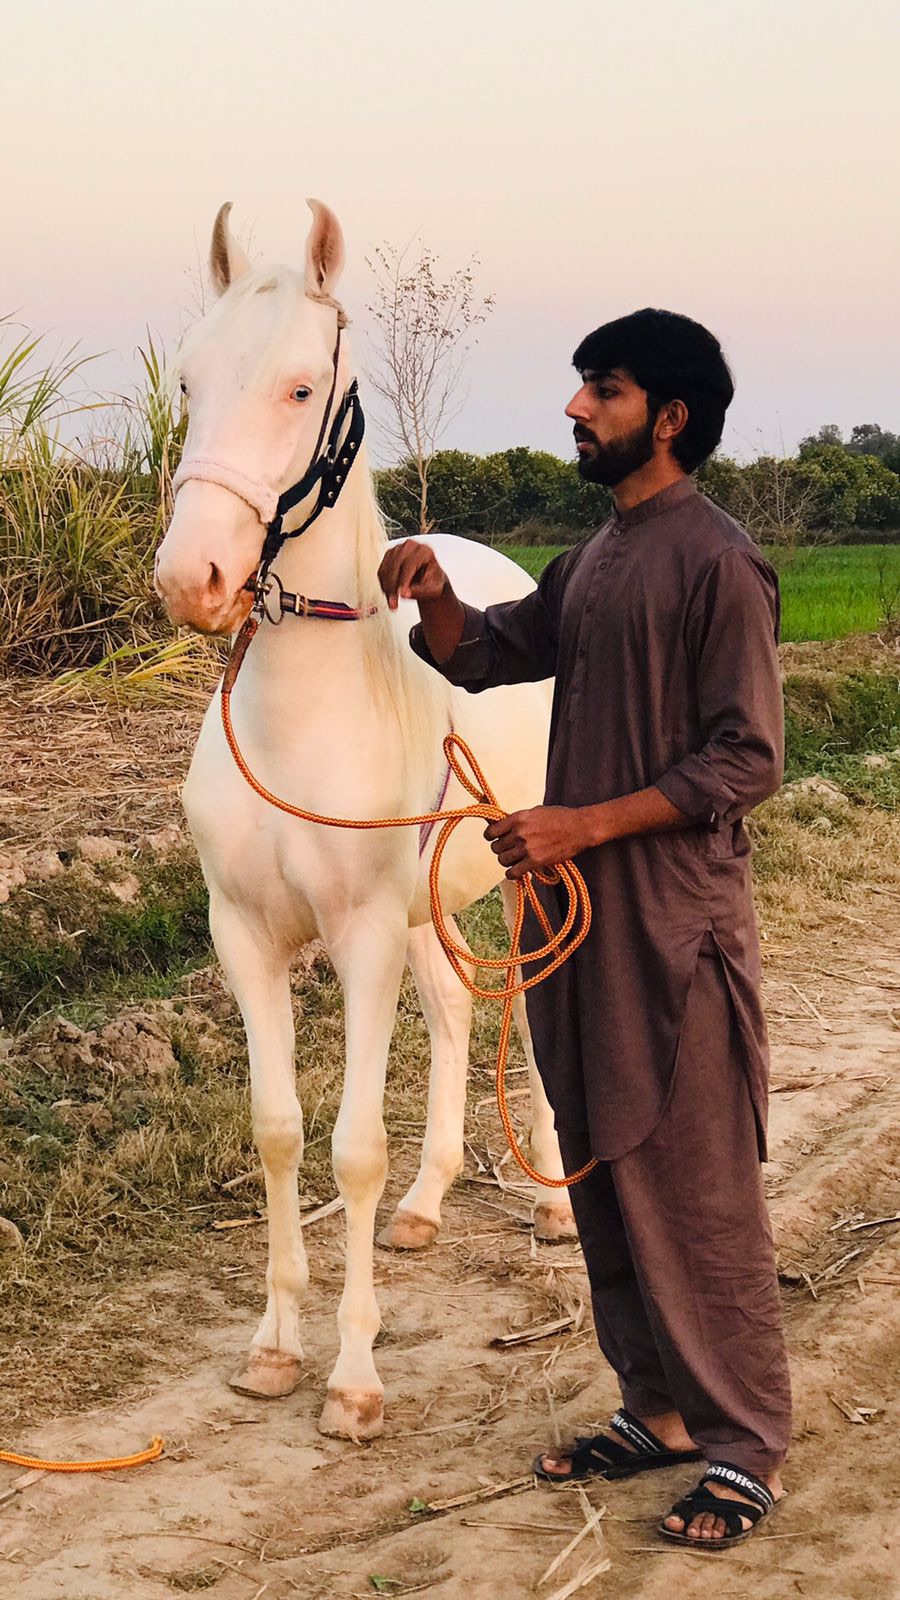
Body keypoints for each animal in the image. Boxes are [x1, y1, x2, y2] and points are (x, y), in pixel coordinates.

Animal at [153, 198, 575, 1442]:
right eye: (188, 379)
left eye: (301, 387)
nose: (192, 578)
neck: (307, 716)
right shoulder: (248, 937)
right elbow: (279, 1130)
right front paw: (274, 1347)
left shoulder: (363, 939)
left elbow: (351, 1150)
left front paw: (352, 1375)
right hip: (427, 911)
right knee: (456, 1008)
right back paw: (432, 1202)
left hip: (526, 876)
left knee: (523, 1009)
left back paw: (553, 1199)